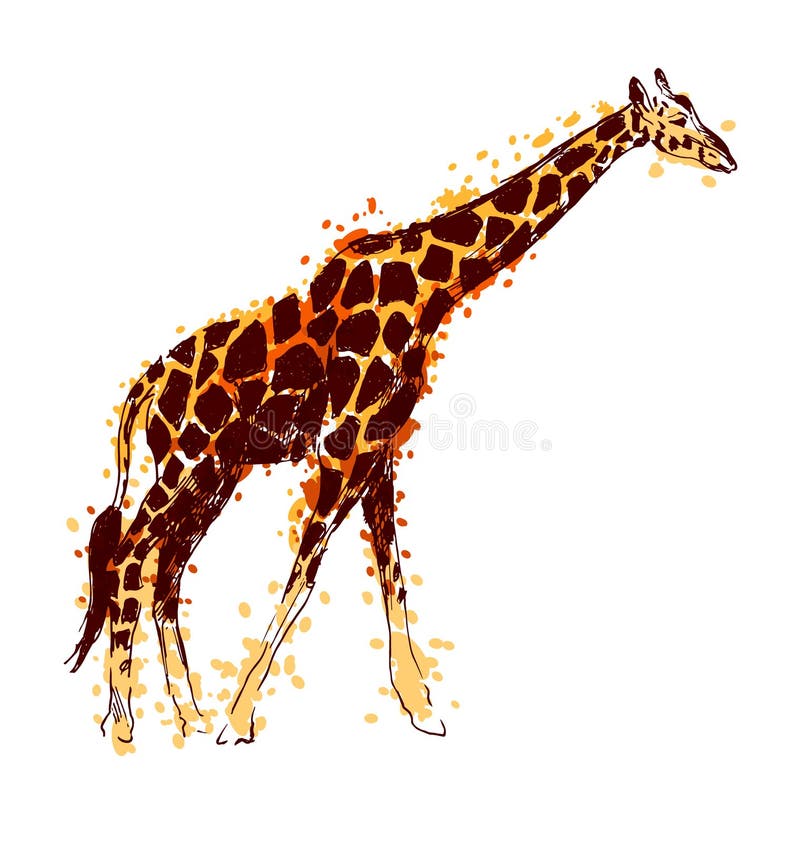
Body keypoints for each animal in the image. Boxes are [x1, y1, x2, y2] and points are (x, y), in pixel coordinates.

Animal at [68, 69, 736, 749]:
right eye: (675, 119)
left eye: (694, 108)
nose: (726, 157)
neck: (431, 287)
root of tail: (142, 387)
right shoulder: (344, 444)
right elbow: (305, 575)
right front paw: (240, 718)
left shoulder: (379, 445)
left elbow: (391, 572)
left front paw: (421, 708)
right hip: (183, 459)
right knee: (127, 554)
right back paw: (123, 724)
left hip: (218, 472)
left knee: (166, 569)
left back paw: (188, 716)